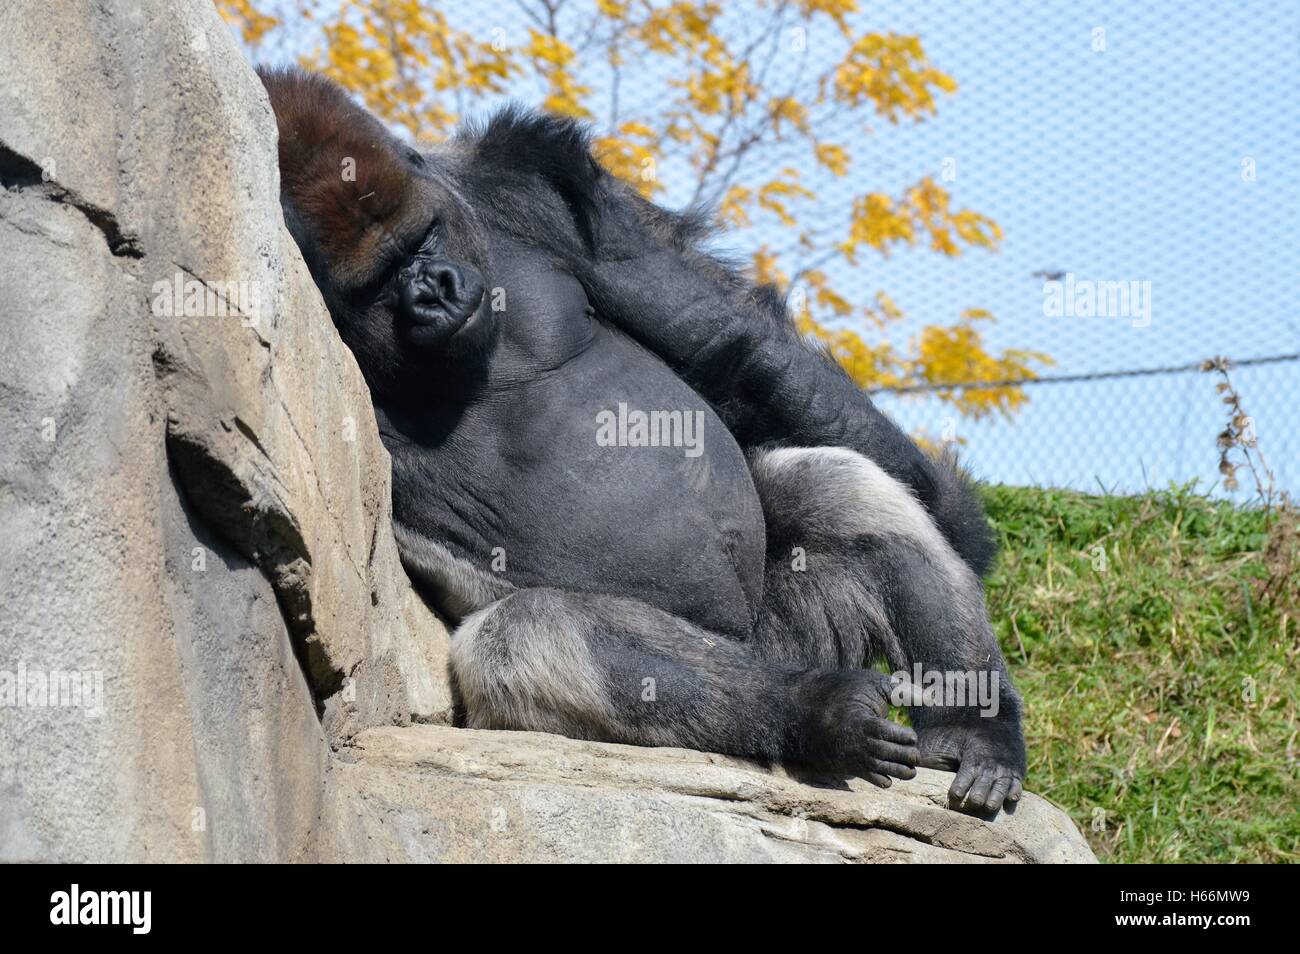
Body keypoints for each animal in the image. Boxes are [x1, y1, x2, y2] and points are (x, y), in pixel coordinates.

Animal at [258, 67, 1026, 814]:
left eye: (424, 243)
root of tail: (757, 643)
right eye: (383, 282)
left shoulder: (524, 175)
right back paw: (816, 711)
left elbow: (728, 340)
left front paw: (960, 526)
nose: (437, 290)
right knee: (529, 633)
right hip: (757, 655)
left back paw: (975, 724)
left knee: (836, 488)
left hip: (789, 629)